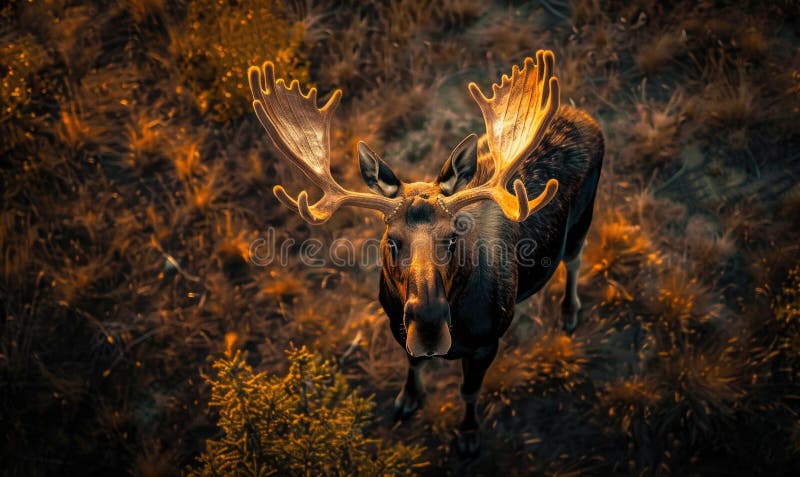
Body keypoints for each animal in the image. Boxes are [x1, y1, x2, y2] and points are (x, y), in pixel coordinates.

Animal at [248, 50, 604, 456]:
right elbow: (413, 366)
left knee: (574, 260)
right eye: (391, 240)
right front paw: (407, 399)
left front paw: (468, 435)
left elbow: (469, 392)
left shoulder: (487, 343)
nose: (430, 323)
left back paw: (570, 311)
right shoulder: (395, 324)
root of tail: (582, 113)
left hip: (583, 216)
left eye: (453, 236)